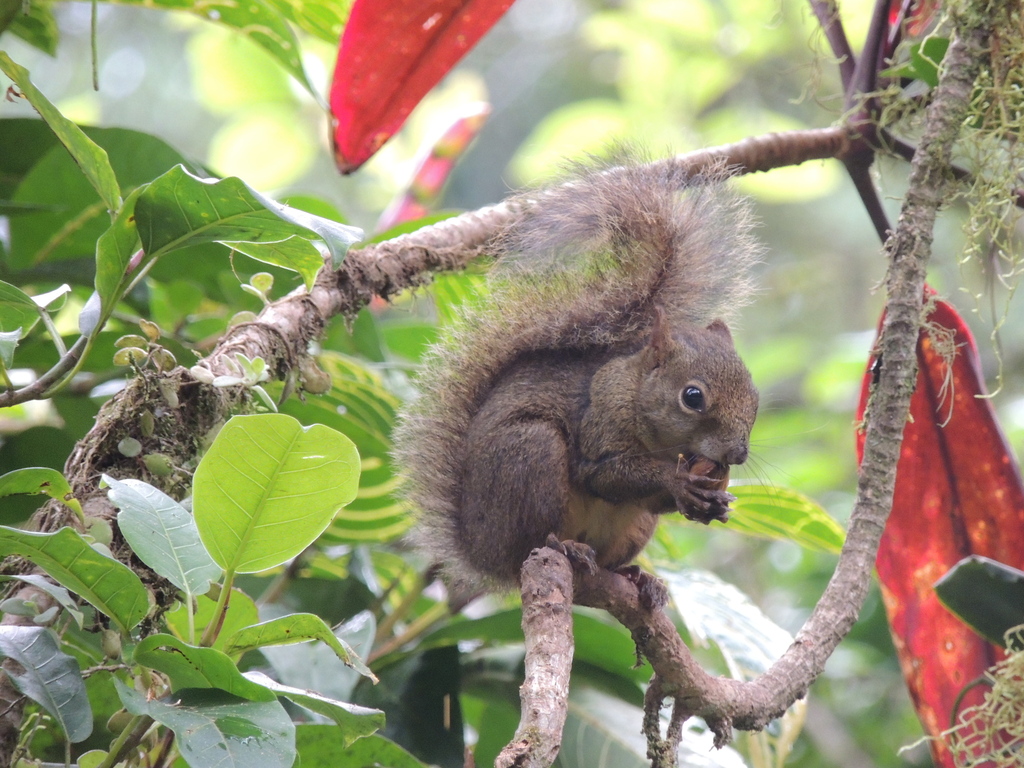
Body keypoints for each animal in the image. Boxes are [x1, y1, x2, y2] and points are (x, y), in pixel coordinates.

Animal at [393, 156, 762, 598]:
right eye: (692, 397)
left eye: (755, 399)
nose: (737, 454)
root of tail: (480, 553)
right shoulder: (599, 424)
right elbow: (603, 474)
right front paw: (677, 481)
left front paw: (715, 501)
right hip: (529, 454)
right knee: (530, 542)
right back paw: (563, 546)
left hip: (632, 529)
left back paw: (637, 577)